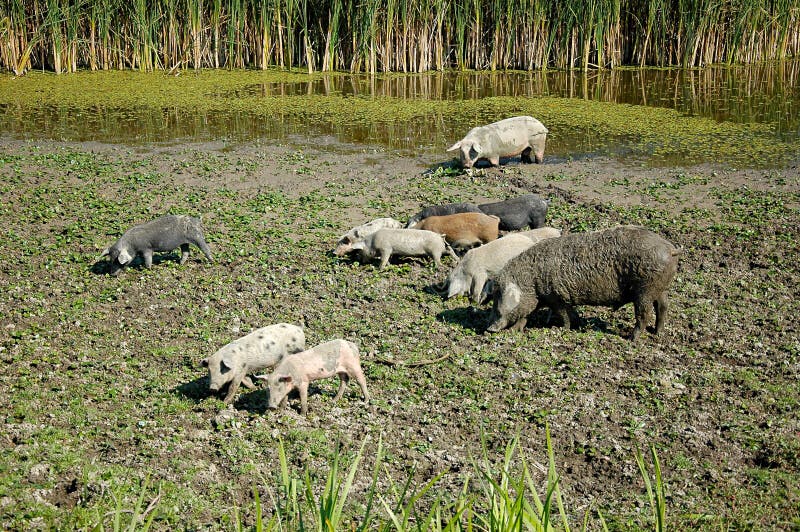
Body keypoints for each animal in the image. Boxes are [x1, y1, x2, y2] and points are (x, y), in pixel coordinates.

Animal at [484, 226, 679, 341]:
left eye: (498, 298)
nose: (488, 329)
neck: (530, 281)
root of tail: (670, 248)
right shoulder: (543, 299)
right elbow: (525, 317)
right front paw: (514, 331)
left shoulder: (556, 296)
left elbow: (563, 315)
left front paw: (562, 328)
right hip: (660, 288)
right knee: (663, 307)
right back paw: (658, 333)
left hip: (645, 289)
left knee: (644, 313)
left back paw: (633, 338)